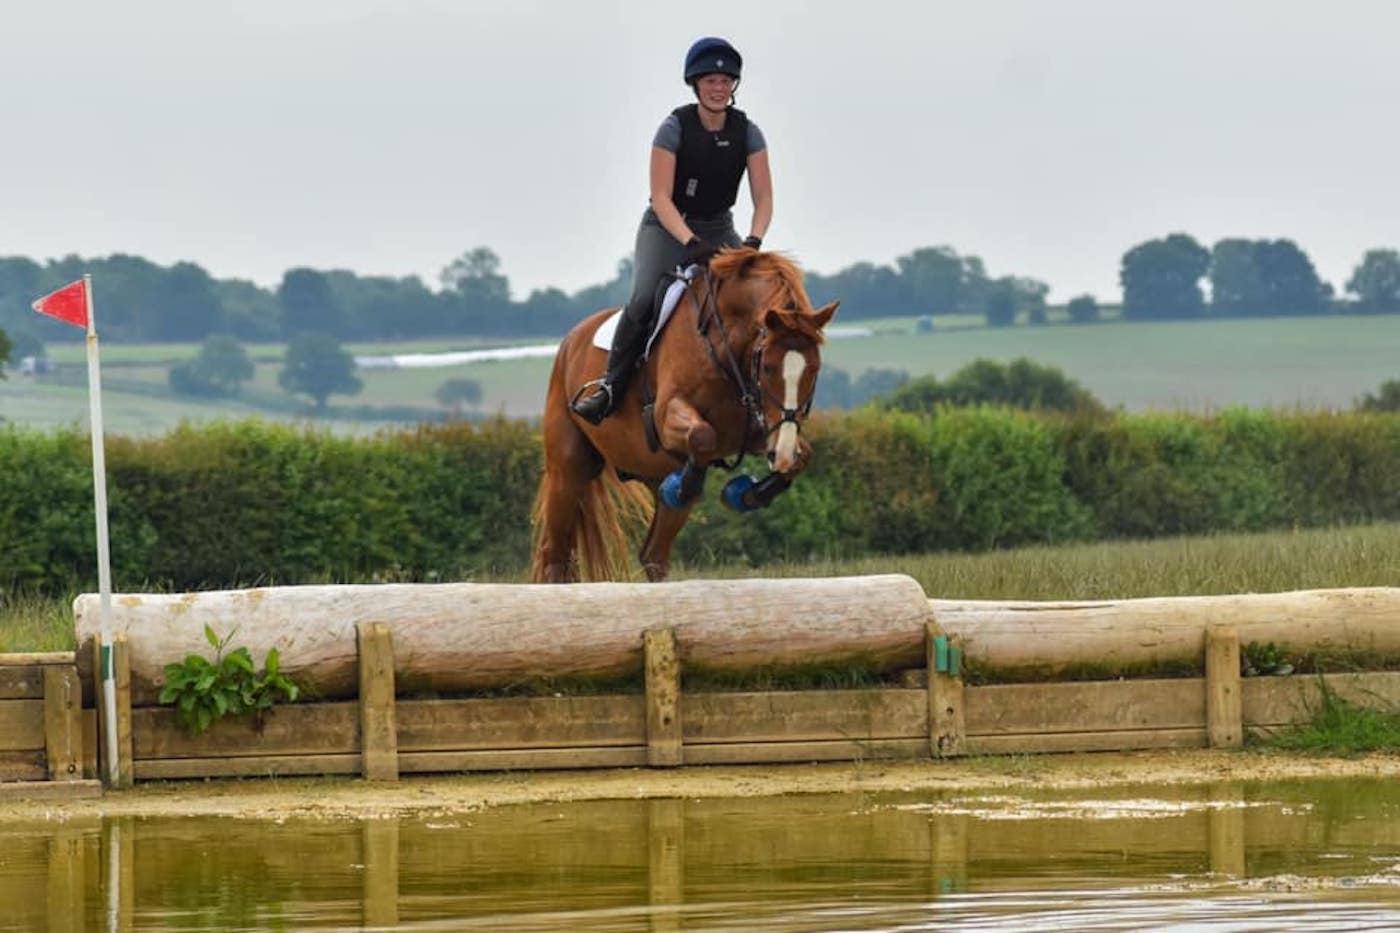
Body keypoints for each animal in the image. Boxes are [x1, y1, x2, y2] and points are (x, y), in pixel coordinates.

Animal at [531, 248, 838, 583]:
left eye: (814, 369)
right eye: (768, 367)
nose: (780, 453)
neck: (725, 348)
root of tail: (570, 341)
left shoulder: (760, 429)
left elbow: (802, 456)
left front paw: (747, 495)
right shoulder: (666, 418)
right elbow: (702, 436)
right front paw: (685, 487)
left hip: (650, 468)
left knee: (653, 555)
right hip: (568, 469)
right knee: (554, 554)